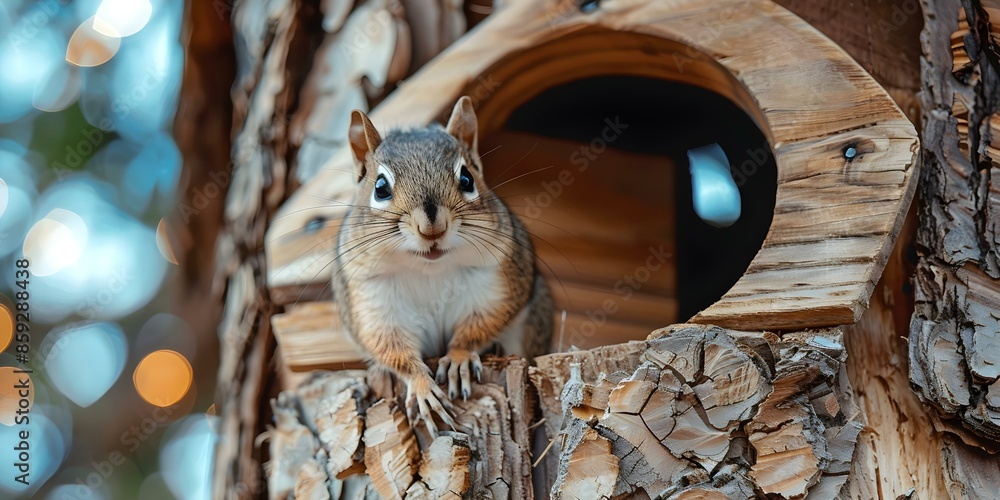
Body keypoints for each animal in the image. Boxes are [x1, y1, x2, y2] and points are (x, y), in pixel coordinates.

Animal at [334, 96, 553, 433]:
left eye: (467, 179)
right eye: (380, 187)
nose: (432, 228)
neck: (430, 269)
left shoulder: (492, 281)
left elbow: (482, 322)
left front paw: (459, 359)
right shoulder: (373, 298)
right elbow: (391, 347)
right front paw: (424, 387)